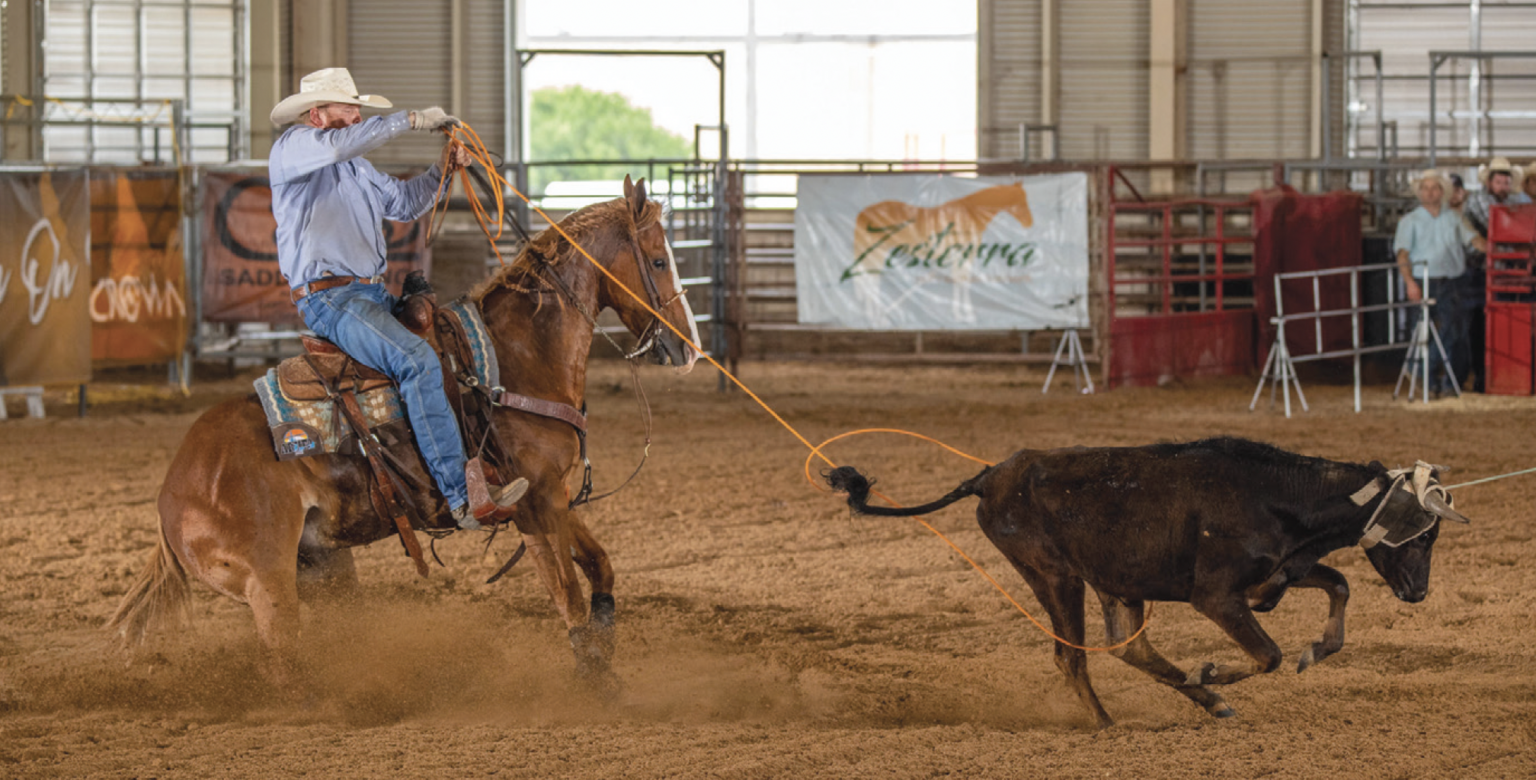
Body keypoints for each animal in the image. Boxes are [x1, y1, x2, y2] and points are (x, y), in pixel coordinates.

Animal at [109, 176, 700, 693]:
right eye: (659, 260)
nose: (689, 348)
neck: (514, 358)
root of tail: (173, 490)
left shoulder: (553, 494)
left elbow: (600, 567)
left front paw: (604, 645)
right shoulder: (536, 505)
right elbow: (566, 594)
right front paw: (594, 678)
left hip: (326, 567)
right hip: (268, 584)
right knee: (284, 669)